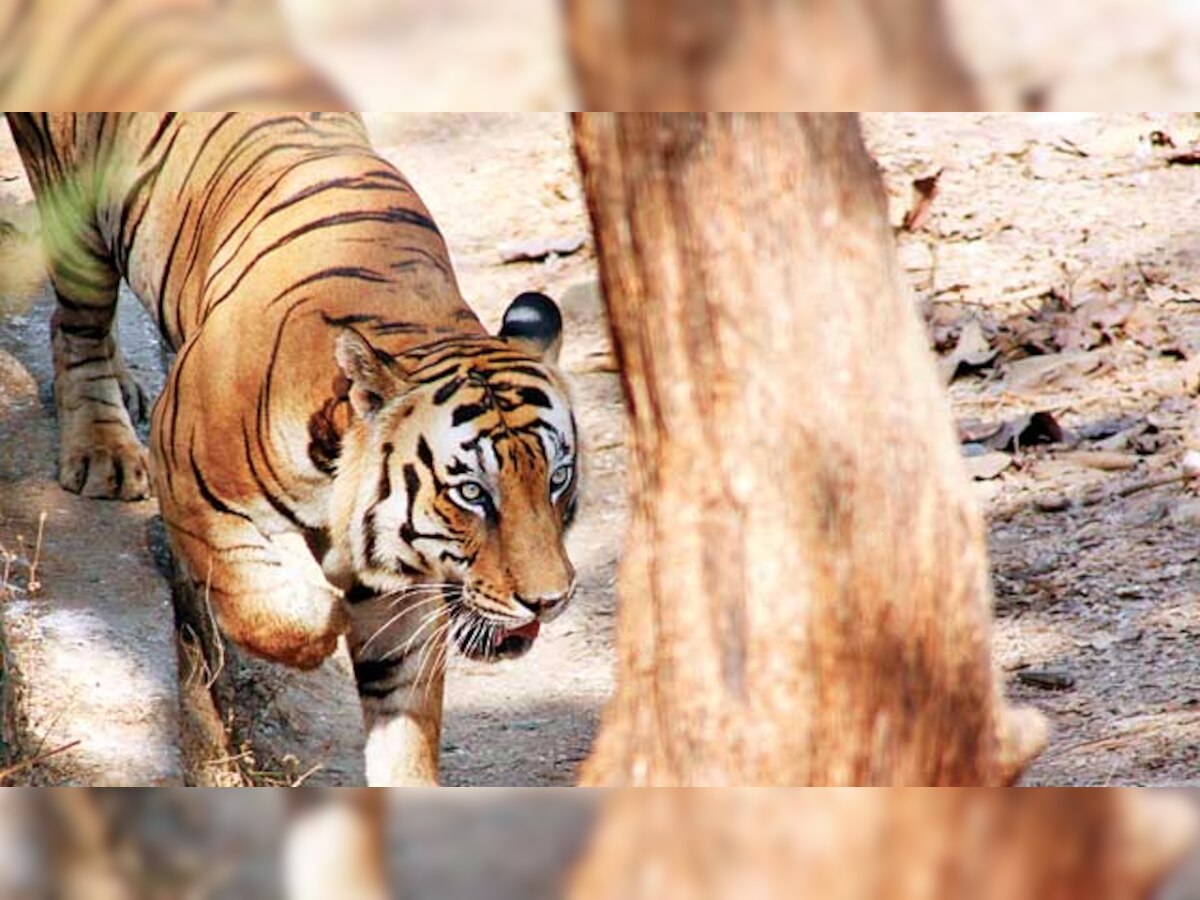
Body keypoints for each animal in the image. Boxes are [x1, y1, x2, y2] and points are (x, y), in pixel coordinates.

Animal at [7, 113, 581, 786]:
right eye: (471, 493)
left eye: (557, 480)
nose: (549, 601)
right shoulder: (192, 488)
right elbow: (266, 608)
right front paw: (320, 608)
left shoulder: (406, 593)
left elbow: (404, 719)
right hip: (73, 210)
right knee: (75, 323)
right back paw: (105, 452)